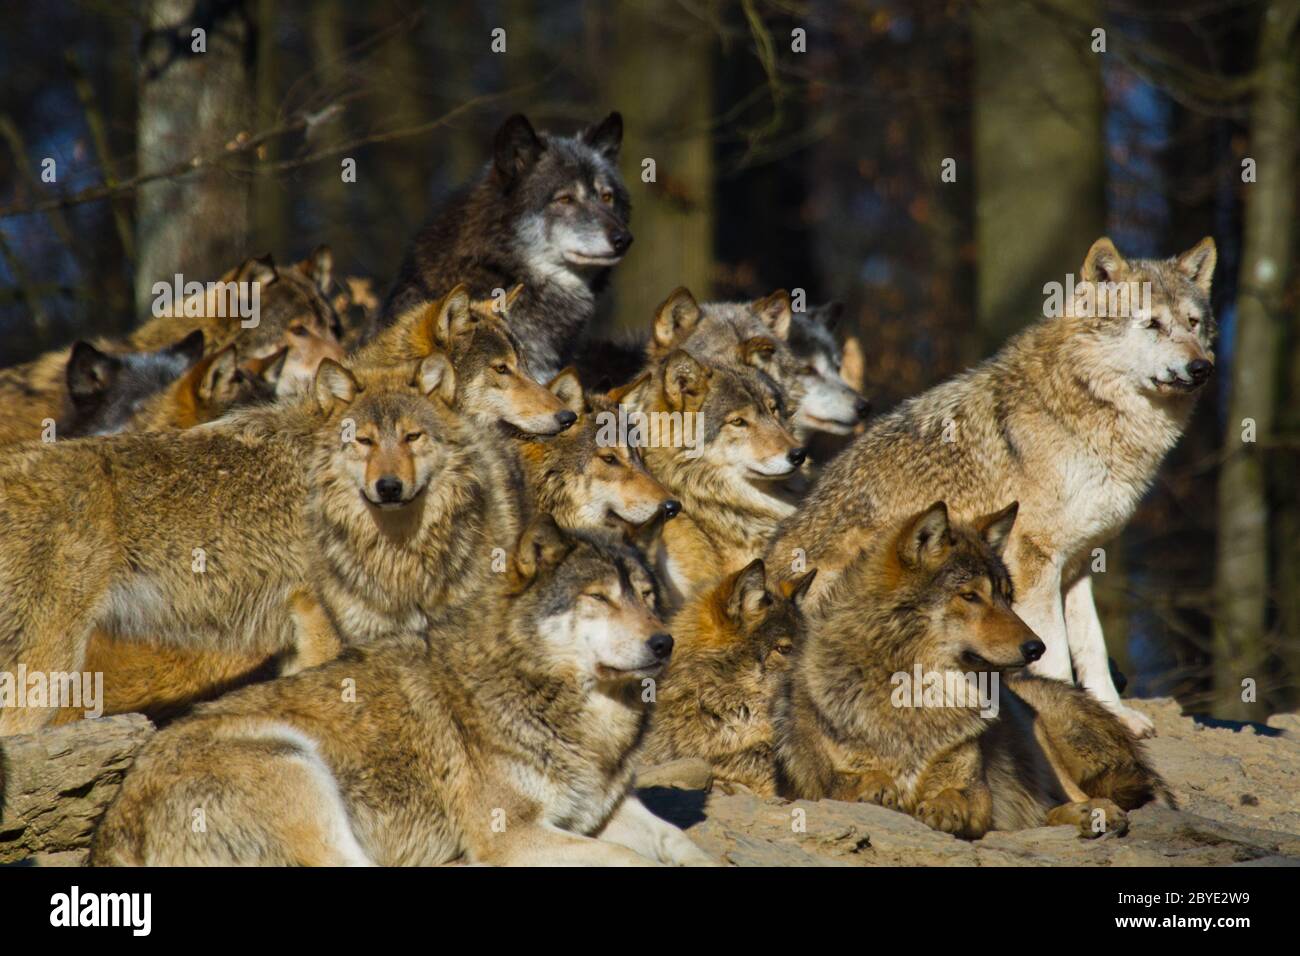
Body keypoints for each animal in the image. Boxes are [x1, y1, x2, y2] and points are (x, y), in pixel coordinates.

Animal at [90, 517, 715, 866]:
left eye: (647, 596)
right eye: (599, 598)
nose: (664, 643)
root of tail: (115, 824)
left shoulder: (606, 809)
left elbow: (682, 845)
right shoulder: (511, 838)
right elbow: (631, 859)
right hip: (295, 764)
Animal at [768, 237, 1218, 736]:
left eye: (1193, 324)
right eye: (1152, 324)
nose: (1202, 366)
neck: (1082, 410)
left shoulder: (1079, 562)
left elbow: (1092, 648)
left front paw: (1114, 715)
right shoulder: (1036, 562)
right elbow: (1054, 656)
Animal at [772, 502, 1171, 839]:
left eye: (1006, 597)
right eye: (970, 596)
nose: (1037, 647)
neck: (915, 699)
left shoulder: (975, 789)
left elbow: (961, 794)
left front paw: (945, 807)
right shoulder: (812, 788)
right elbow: (848, 780)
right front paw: (875, 784)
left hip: (1035, 734)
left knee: (1070, 800)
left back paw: (1096, 814)